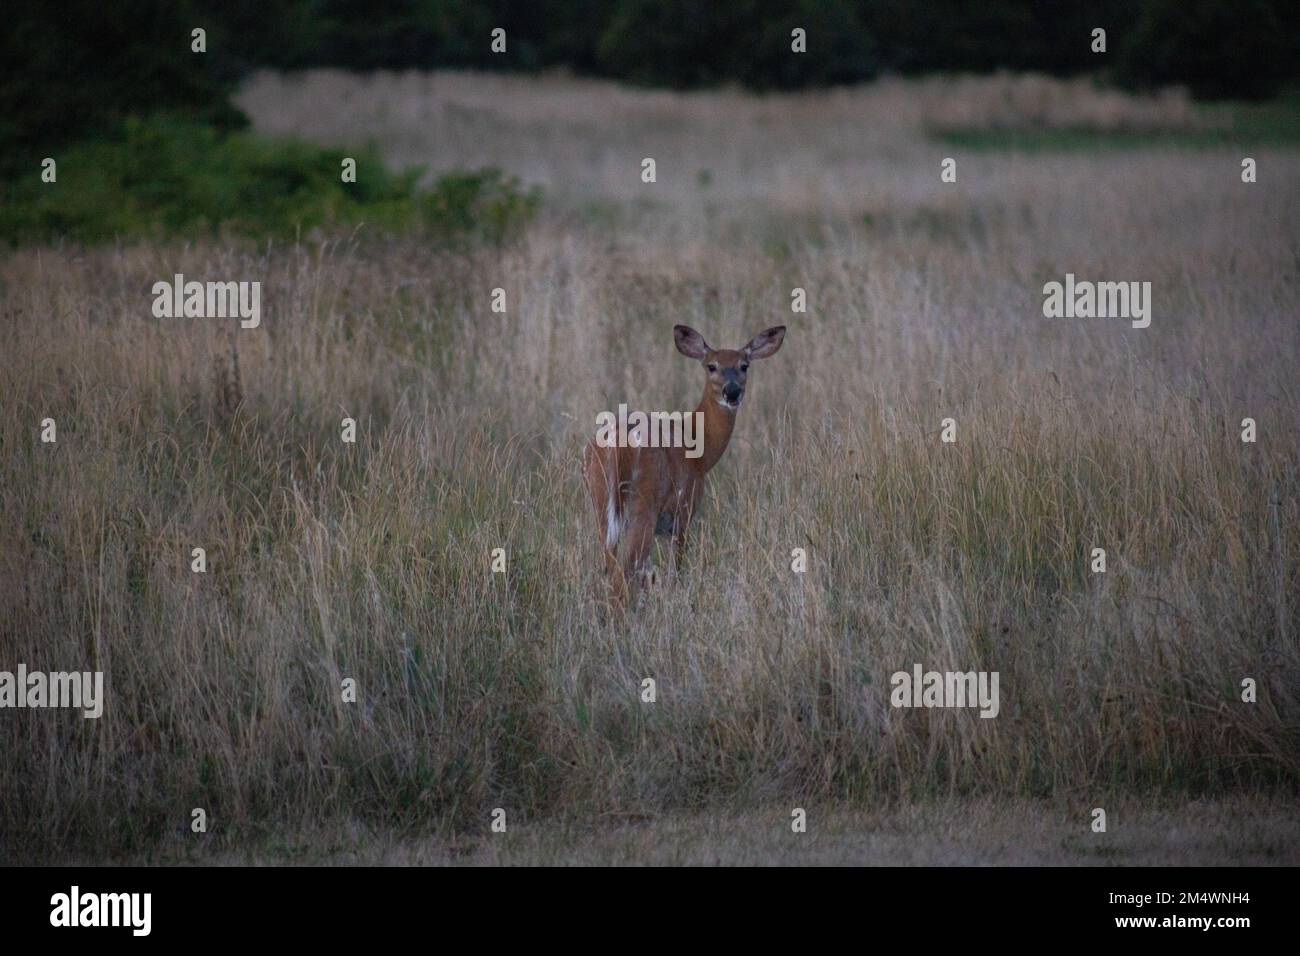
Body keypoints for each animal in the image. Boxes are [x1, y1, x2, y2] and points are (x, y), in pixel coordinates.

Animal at [582, 324, 787, 607]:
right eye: (711, 366)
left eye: (744, 366)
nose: (732, 392)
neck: (700, 450)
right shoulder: (684, 514)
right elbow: (676, 572)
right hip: (644, 506)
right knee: (623, 574)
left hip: (601, 503)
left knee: (609, 568)